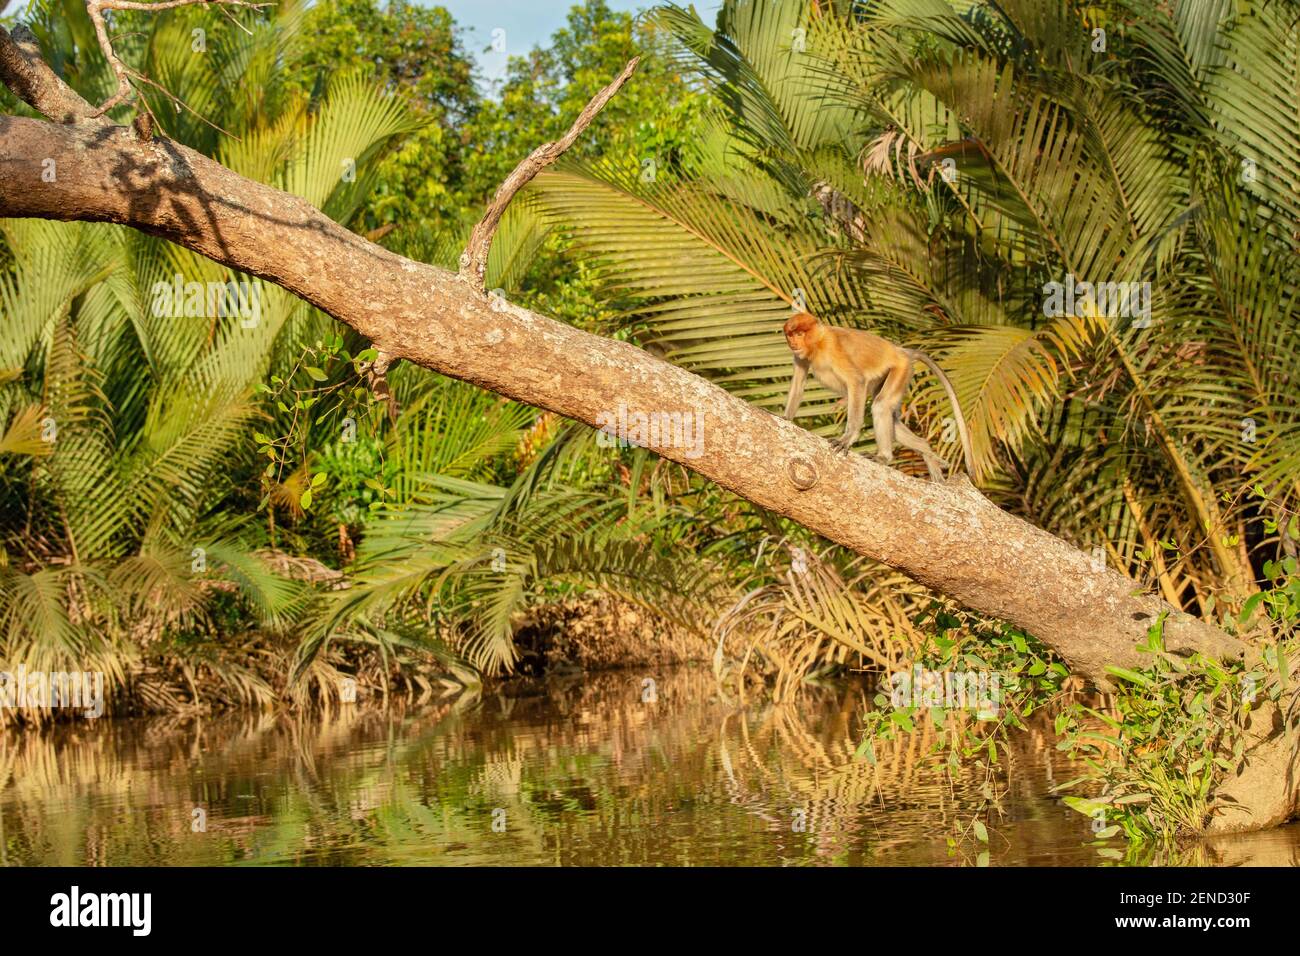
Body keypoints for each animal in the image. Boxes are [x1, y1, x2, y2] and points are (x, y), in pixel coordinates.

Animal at [781, 312, 974, 481]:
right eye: (790, 334)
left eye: (799, 334)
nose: (793, 342)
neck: (818, 342)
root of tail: (900, 351)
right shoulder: (801, 356)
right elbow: (798, 383)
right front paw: (786, 418)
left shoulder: (832, 347)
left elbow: (856, 381)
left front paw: (847, 439)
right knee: (891, 417)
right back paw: (925, 450)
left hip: (900, 369)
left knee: (881, 406)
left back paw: (884, 457)